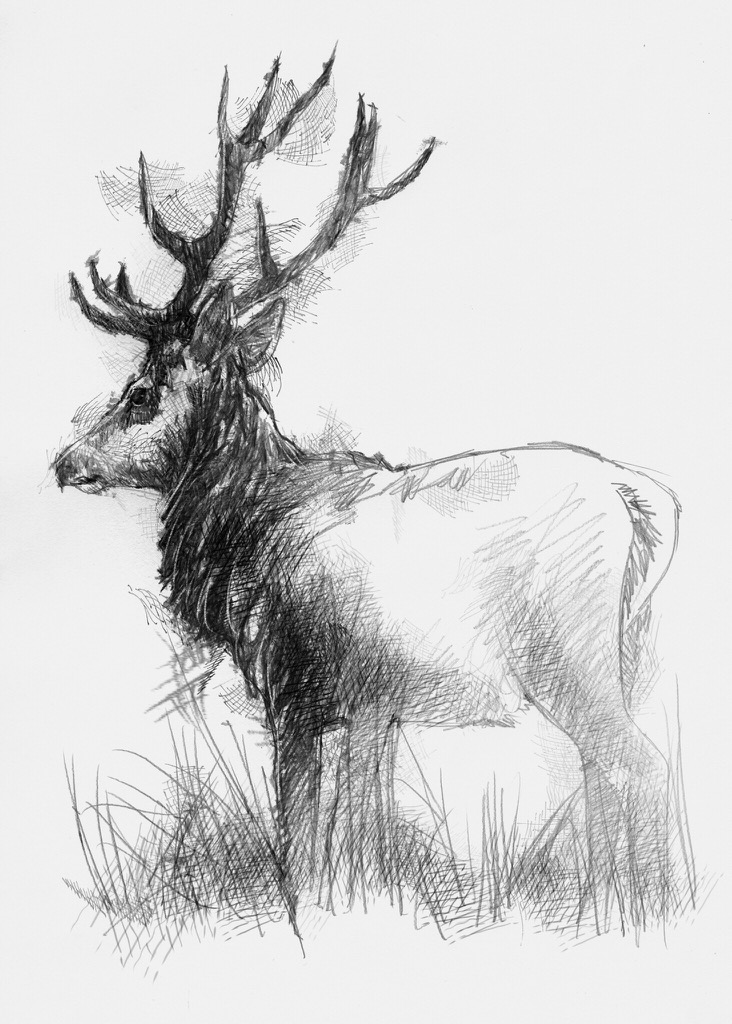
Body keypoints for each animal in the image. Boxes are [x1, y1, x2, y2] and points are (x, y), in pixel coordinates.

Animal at [54, 53, 689, 934]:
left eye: (143, 391)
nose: (65, 461)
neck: (249, 546)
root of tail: (641, 497)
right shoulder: (372, 705)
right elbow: (359, 833)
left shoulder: (298, 684)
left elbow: (300, 838)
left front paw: (305, 921)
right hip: (617, 650)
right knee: (607, 771)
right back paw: (607, 905)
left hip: (571, 651)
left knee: (640, 764)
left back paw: (645, 913)